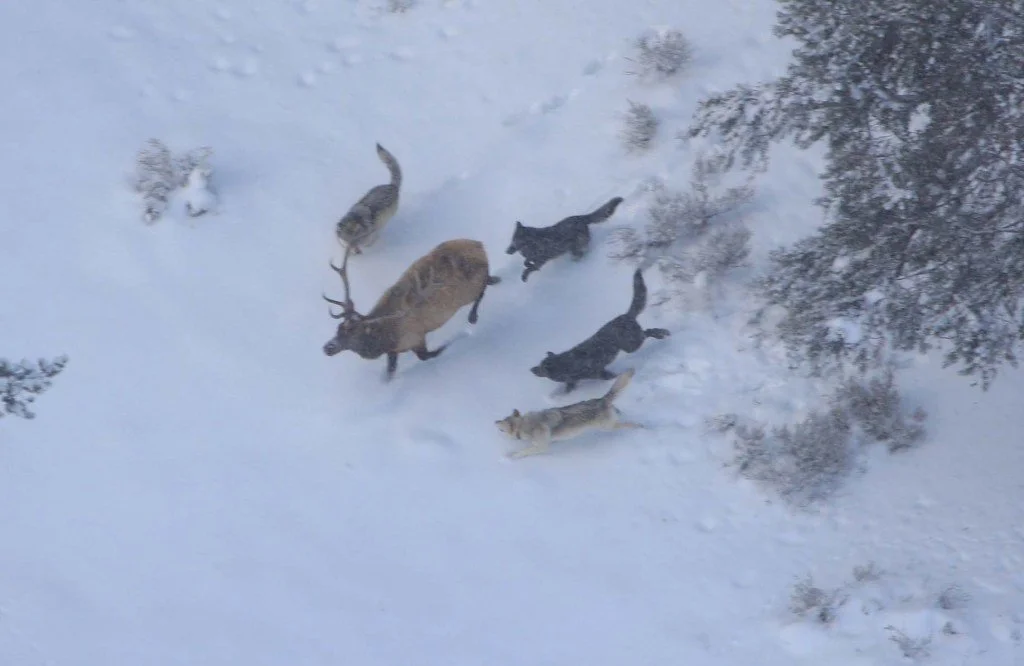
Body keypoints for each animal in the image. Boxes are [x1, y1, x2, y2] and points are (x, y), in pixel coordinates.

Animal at [496, 368, 643, 459]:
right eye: (502, 418)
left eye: (501, 425)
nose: (494, 421)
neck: (526, 425)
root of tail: (602, 399)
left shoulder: (542, 448)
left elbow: (523, 452)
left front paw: (511, 456)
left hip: (608, 427)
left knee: (631, 424)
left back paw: (642, 427)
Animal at [530, 268, 670, 393]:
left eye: (541, 367)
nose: (532, 369)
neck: (565, 364)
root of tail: (625, 316)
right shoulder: (575, 381)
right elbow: (569, 388)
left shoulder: (598, 373)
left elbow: (611, 377)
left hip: (632, 345)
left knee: (648, 332)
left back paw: (661, 333)